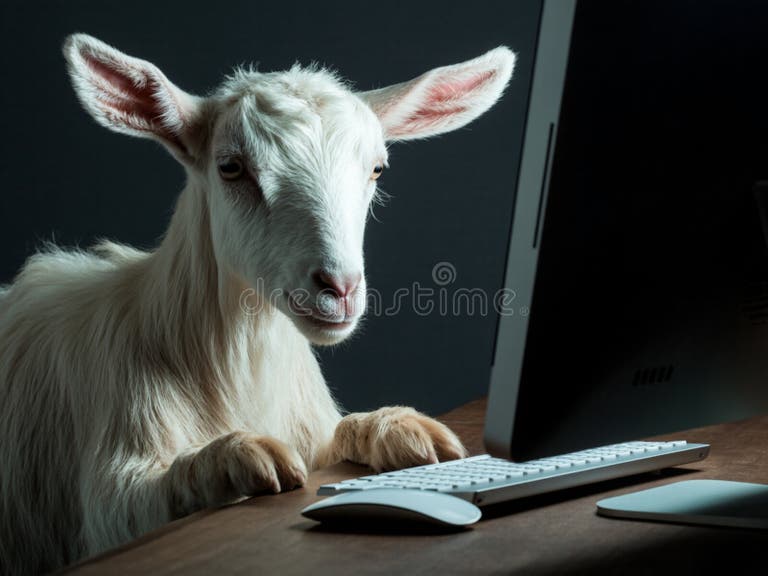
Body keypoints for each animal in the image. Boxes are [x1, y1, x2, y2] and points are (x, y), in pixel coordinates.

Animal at [0, 34, 515, 574]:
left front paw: (400, 427)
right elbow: (139, 498)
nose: (340, 287)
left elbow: (341, 435)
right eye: (231, 167)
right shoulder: (111, 486)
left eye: (377, 168)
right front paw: (237, 455)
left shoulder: (313, 430)